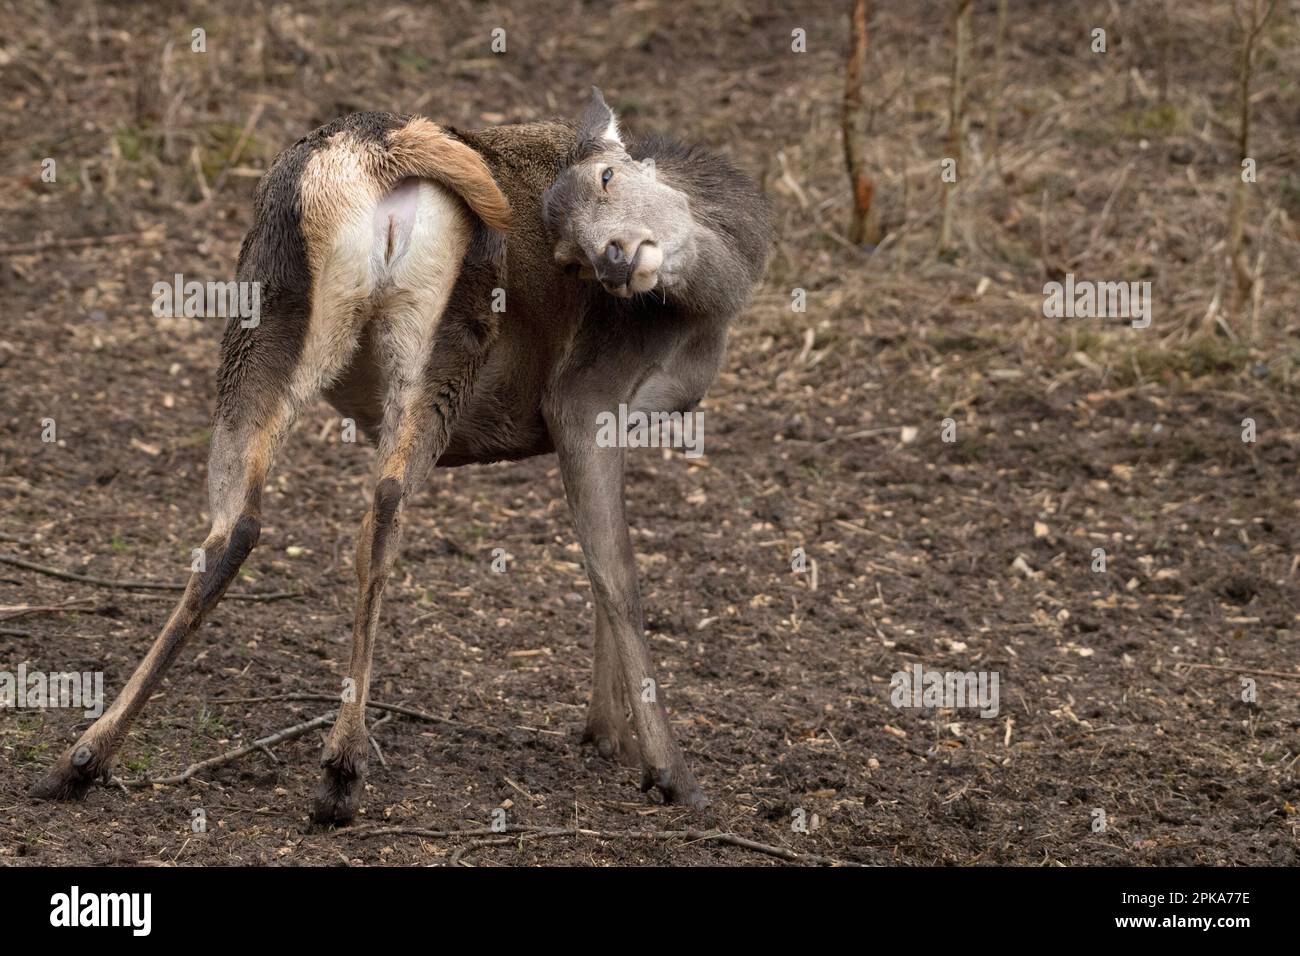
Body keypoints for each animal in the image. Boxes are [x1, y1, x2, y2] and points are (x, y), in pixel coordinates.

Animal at [29, 88, 772, 825]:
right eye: (570, 255)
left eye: (611, 179)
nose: (615, 260)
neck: (710, 303)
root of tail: (380, 153)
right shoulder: (585, 402)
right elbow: (618, 577)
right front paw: (665, 770)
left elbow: (595, 573)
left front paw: (605, 735)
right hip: (448, 333)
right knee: (382, 504)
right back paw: (340, 770)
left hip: (267, 307)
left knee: (236, 523)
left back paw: (84, 758)